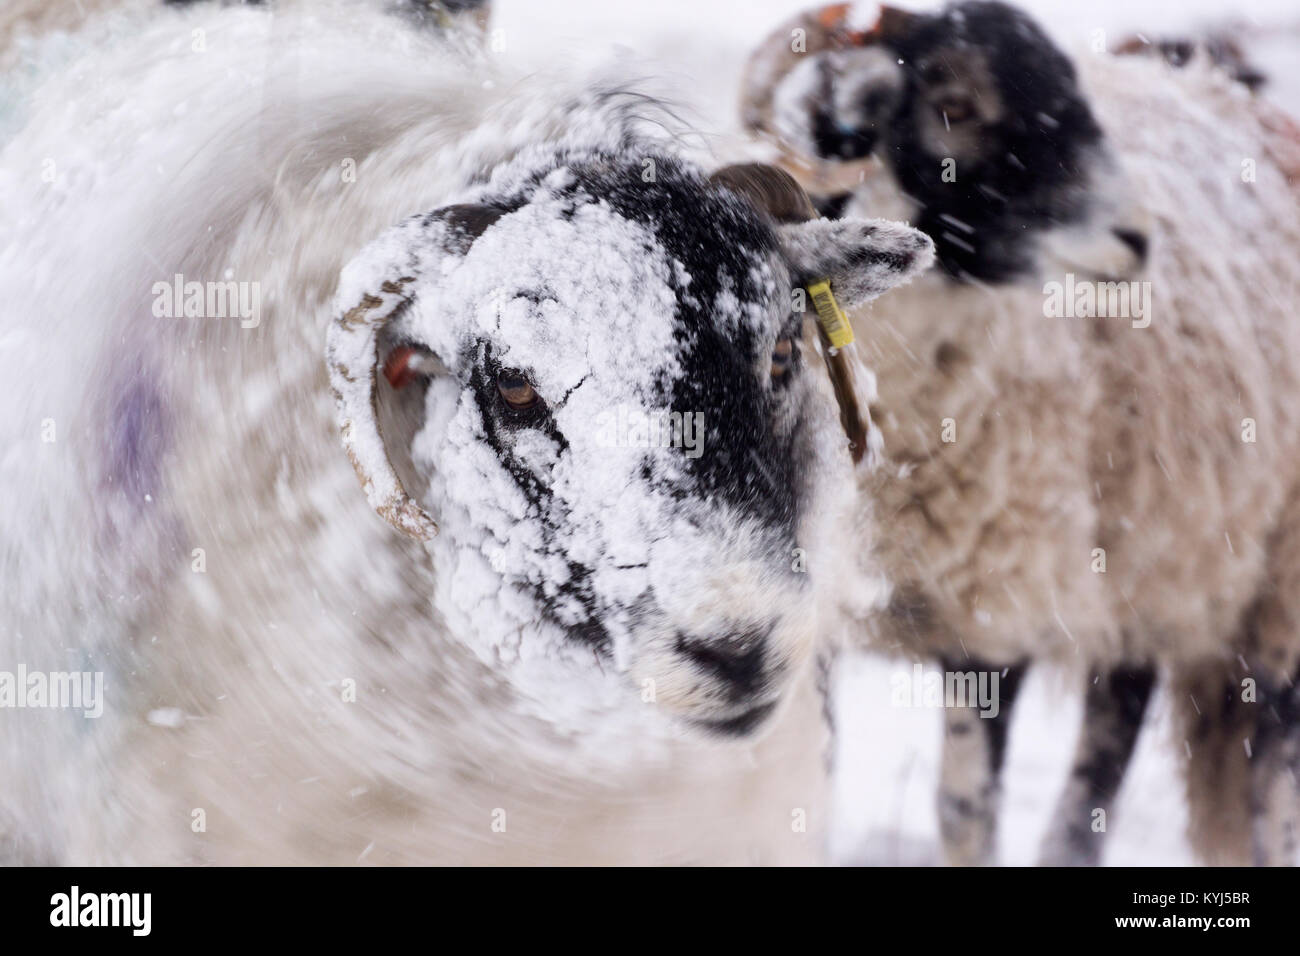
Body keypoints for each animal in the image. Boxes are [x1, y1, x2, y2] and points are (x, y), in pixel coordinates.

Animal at [741, 0, 1300, 865]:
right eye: (955, 106)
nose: (1136, 237)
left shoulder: (993, 618)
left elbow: (965, 812)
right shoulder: (817, 615)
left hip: (1276, 588)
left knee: (1269, 763)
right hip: (1151, 560)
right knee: (1113, 728)